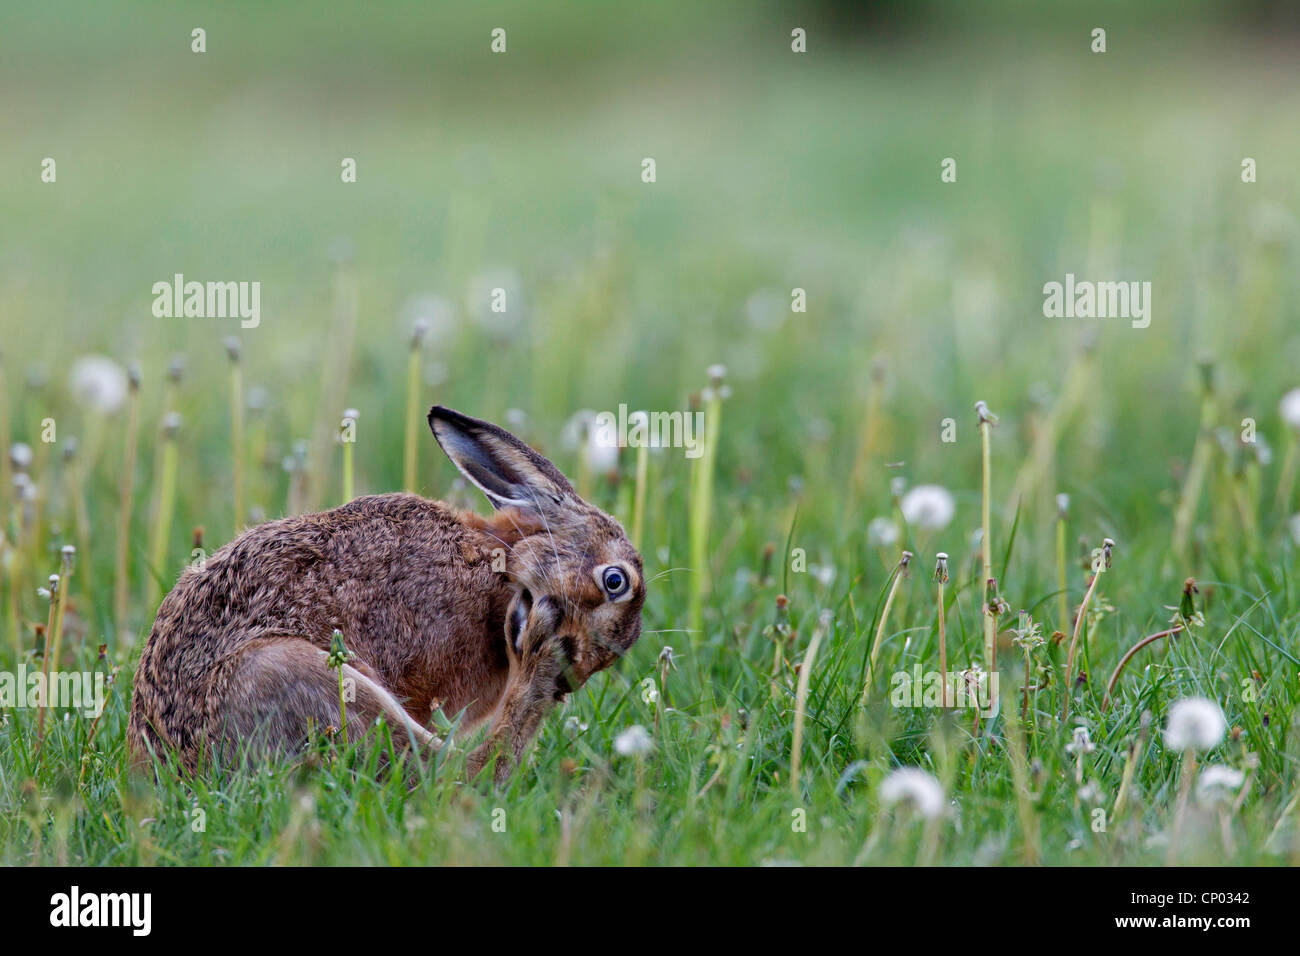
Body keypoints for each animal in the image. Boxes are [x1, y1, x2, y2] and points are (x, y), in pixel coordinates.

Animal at [128, 405, 646, 784]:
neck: (500, 564)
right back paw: (538, 658)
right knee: (455, 776)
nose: (572, 677)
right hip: (293, 673)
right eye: (614, 581)